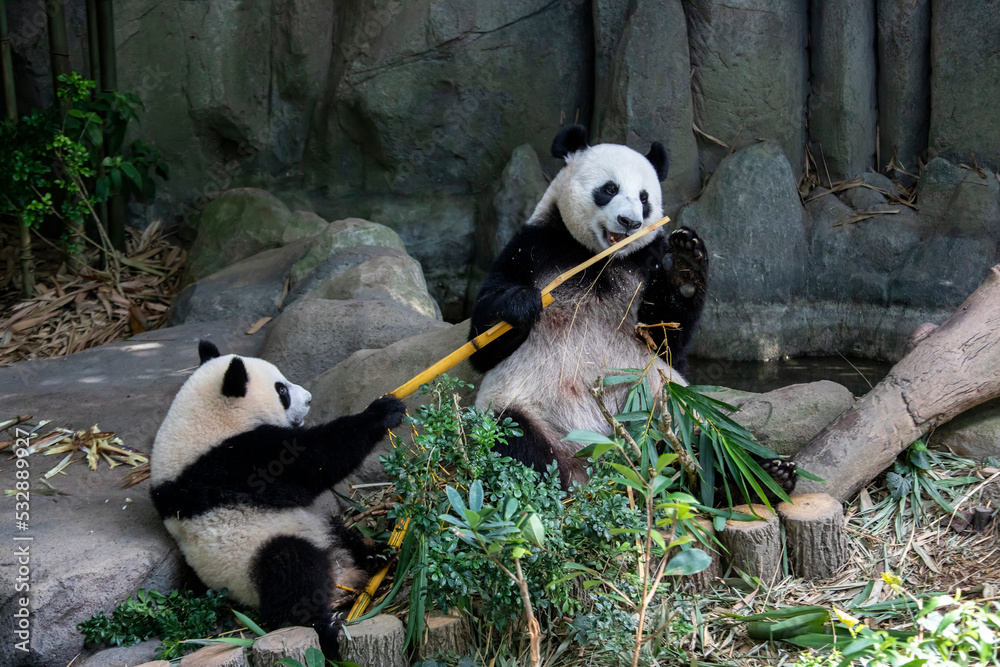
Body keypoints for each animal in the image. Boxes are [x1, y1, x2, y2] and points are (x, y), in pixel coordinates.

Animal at [150, 340, 405, 655]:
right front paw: (382, 412)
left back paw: (375, 554)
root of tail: (340, 572)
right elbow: (312, 460)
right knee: (289, 570)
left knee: (339, 532)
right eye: (281, 390)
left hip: (319, 526)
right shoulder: (233, 462)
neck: (204, 421)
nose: (308, 400)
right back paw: (322, 628)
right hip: (250, 559)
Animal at [469, 124, 795, 496]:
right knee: (514, 437)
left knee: (712, 443)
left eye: (644, 197)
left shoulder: (647, 260)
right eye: (609, 189)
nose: (629, 222)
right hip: (528, 409)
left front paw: (685, 266)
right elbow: (483, 345)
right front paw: (520, 305)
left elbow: (667, 343)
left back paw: (767, 476)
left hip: (669, 407)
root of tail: (606, 458)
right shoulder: (533, 249)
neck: (600, 259)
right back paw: (556, 489)